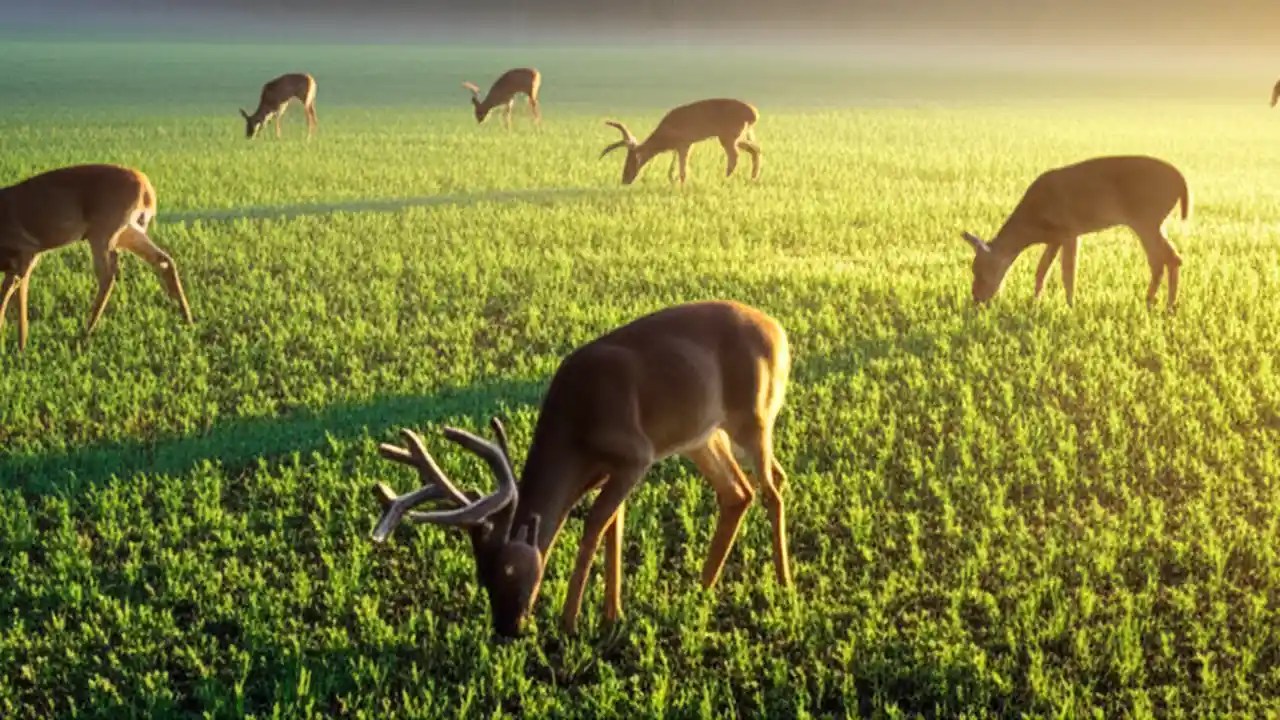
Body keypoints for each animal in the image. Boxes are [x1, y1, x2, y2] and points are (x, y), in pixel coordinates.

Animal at [0, 164, 193, 351]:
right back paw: (188, 319)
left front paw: (17, 345)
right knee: (164, 260)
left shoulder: (27, 252)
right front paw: (21, 345)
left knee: (108, 274)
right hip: (127, 231)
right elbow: (16, 292)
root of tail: (146, 187)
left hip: (103, 229)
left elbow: (10, 292)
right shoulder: (22, 260)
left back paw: (86, 332)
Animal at [370, 300, 792, 639]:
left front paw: (569, 622)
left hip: (753, 417)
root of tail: (779, 330)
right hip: (701, 436)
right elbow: (613, 530)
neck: (577, 433)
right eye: (482, 574)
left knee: (772, 488)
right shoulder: (610, 470)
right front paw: (611, 615)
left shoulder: (635, 455)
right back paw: (703, 587)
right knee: (740, 492)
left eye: (508, 569)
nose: (508, 628)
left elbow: (593, 526)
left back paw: (783, 582)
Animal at [600, 99, 762, 185]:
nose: (624, 180)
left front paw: (681, 185)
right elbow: (677, 169)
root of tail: (754, 113)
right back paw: (752, 178)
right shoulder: (683, 146)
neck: (665, 132)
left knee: (735, 156)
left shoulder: (683, 144)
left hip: (729, 137)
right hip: (737, 136)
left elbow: (682, 170)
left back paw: (723, 179)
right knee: (756, 150)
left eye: (632, 160)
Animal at [961, 155, 1190, 311]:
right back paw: (1165, 305)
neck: (1031, 223)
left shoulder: (1070, 231)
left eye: (979, 270)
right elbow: (1041, 270)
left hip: (1146, 219)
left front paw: (1070, 305)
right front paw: (1035, 302)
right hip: (1154, 222)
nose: (977, 298)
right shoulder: (1055, 238)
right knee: (1171, 258)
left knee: (1163, 260)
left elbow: (1067, 273)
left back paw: (1153, 303)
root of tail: (1182, 182)